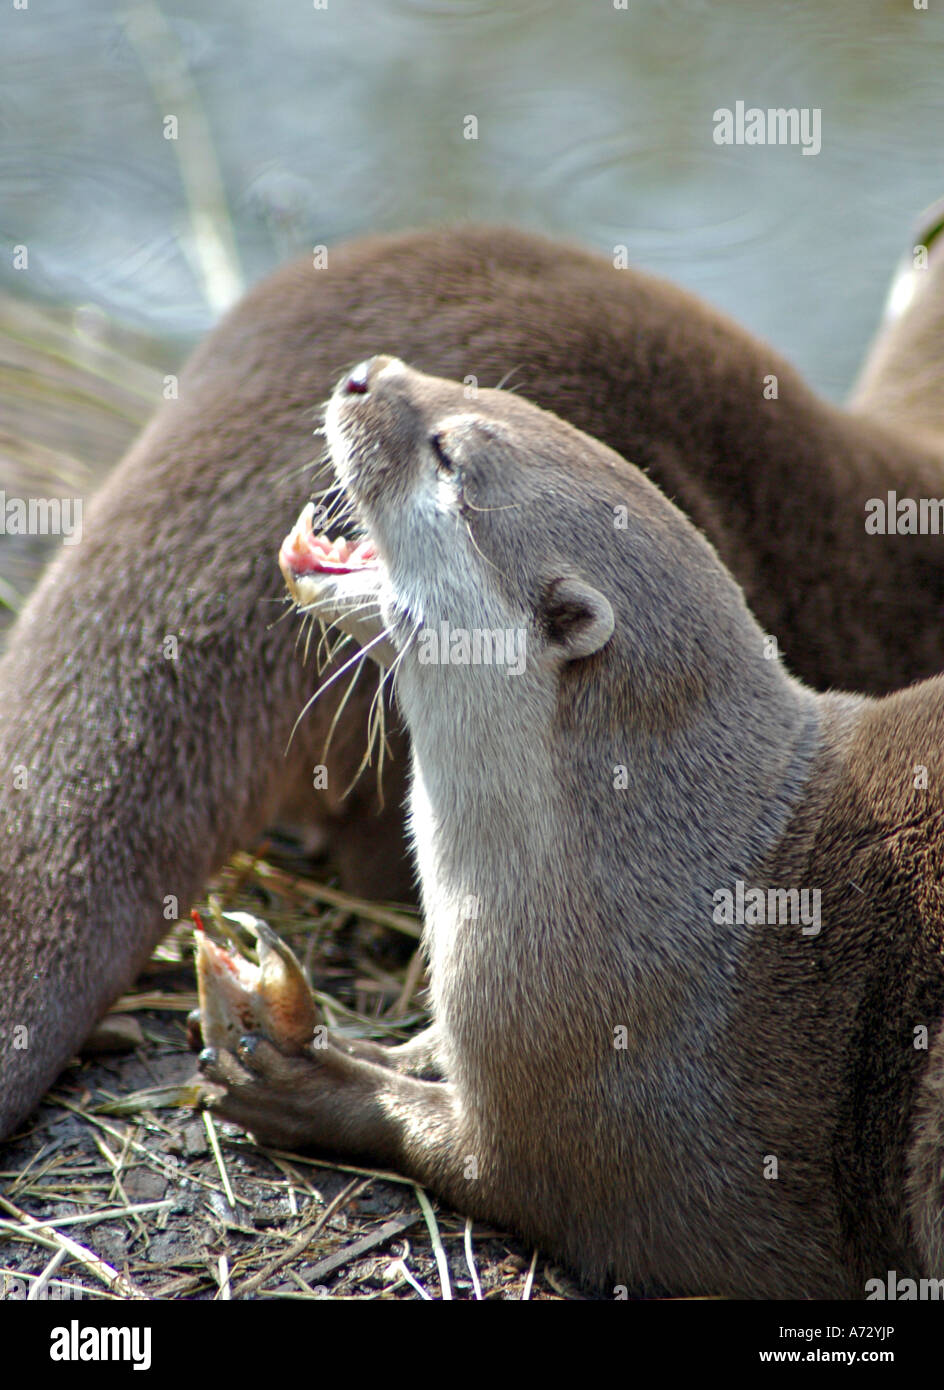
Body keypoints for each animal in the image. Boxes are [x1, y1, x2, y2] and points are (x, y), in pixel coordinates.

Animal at [201, 356, 944, 1299]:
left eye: (449, 458)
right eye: (478, 390)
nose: (365, 373)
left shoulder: (590, 1128)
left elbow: (473, 1155)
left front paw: (298, 1075)